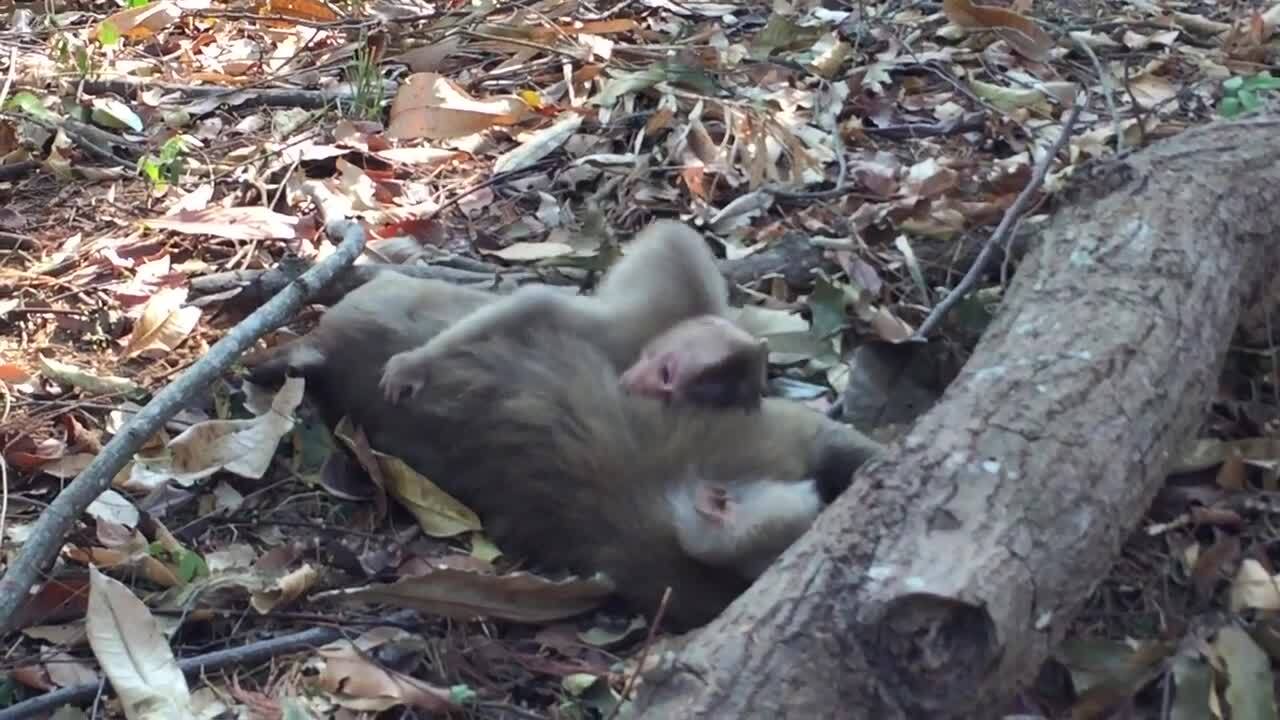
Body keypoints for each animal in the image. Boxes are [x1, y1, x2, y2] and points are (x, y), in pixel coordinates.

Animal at [377, 219, 769, 410]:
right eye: (666, 374)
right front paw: (416, 362)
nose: (642, 388)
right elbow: (536, 305)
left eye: (671, 393)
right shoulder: (618, 335)